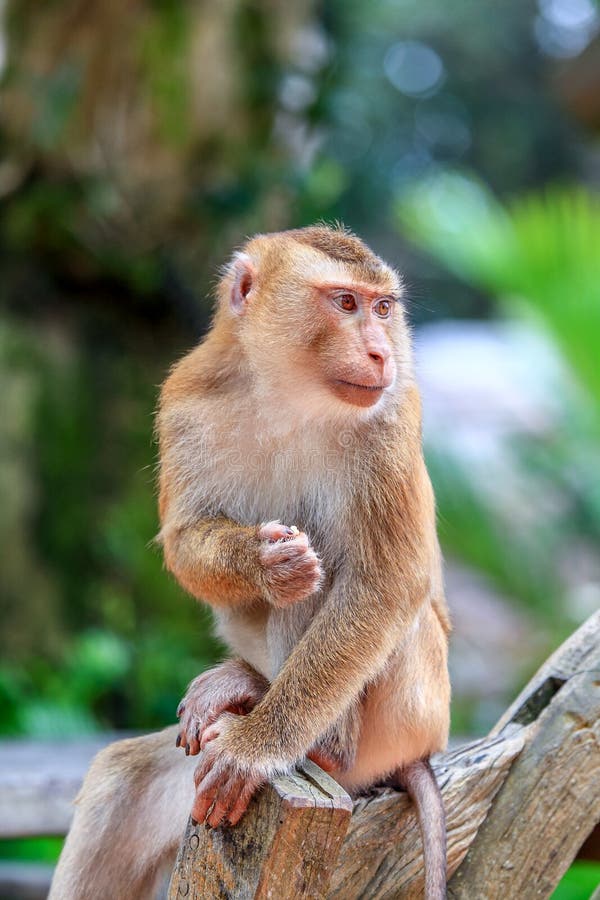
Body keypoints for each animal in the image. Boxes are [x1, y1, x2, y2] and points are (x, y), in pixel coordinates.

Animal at [50, 225, 451, 900]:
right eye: (346, 303)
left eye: (382, 308)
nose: (380, 353)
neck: (291, 397)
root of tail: (425, 747)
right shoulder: (187, 399)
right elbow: (186, 540)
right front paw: (265, 563)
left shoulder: (392, 418)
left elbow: (387, 585)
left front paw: (256, 750)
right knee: (124, 780)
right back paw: (246, 684)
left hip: (413, 708)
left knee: (330, 572)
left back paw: (316, 747)